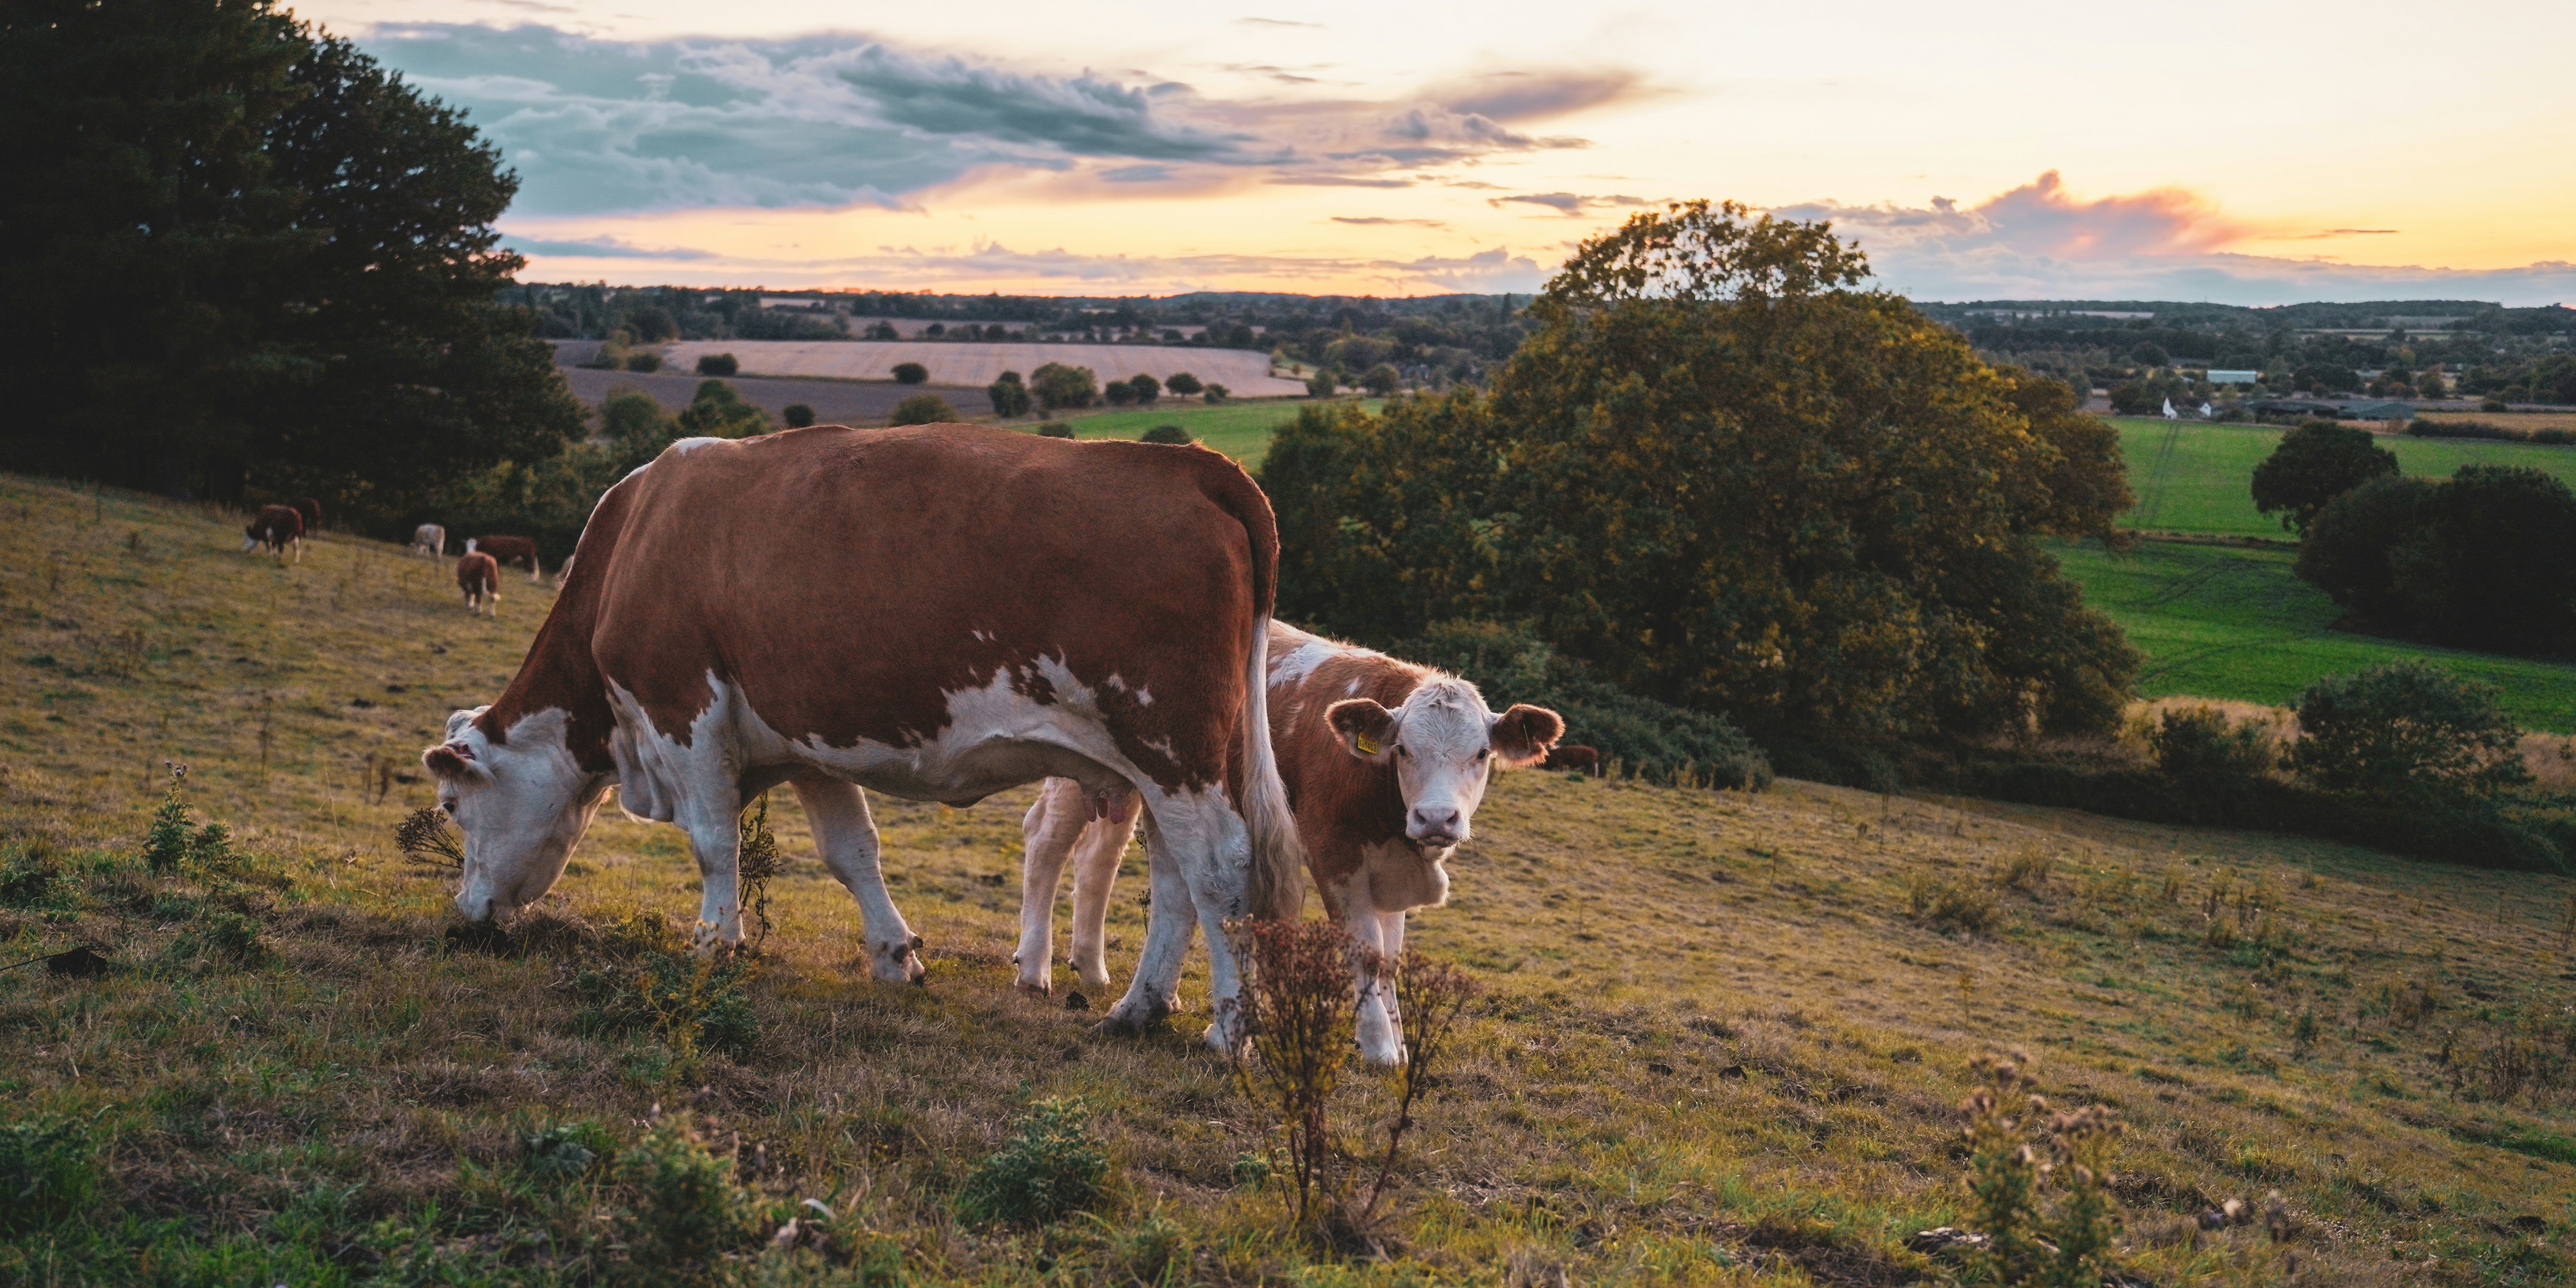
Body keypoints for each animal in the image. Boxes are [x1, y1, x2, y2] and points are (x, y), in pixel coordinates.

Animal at [242, 505, 304, 564]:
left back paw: (279, 559)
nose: (245, 550)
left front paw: (270, 556)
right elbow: (274, 546)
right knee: (297, 549)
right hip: (297, 536)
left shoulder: (266, 537)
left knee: (282, 548)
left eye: (247, 540)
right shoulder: (274, 538)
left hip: (281, 536)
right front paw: (274, 556)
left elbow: (269, 546)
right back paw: (296, 561)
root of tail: (295, 514)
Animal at [456, 551, 499, 616]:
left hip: (478, 584)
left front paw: (470, 606)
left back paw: (478, 612)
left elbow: (470, 595)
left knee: (479, 598)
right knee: (492, 598)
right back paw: (492, 614)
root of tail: (485, 559)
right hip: (493, 583)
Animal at [465, 535, 542, 582]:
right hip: (527, 560)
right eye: (467, 546)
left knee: (531, 568)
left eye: (475, 546)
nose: (469, 553)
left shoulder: (496, 557)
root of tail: (530, 539)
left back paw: (532, 580)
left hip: (529, 558)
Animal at [1015, 622, 1562, 1064]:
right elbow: (1365, 951)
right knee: (1047, 842)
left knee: (1100, 861)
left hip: (1143, 779)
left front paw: (1398, 1041)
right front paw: (1380, 1049)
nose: (1435, 817)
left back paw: (1092, 968)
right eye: (1404, 749)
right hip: (1074, 762)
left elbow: (1389, 957)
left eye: (1482, 753)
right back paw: (1034, 970)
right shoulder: (1334, 854)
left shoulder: (1389, 868)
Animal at [1542, 744, 1601, 777]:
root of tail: (1594, 751)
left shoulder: (1560, 763)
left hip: (1589, 765)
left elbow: (1561, 770)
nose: (1544, 768)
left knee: (1590, 772)